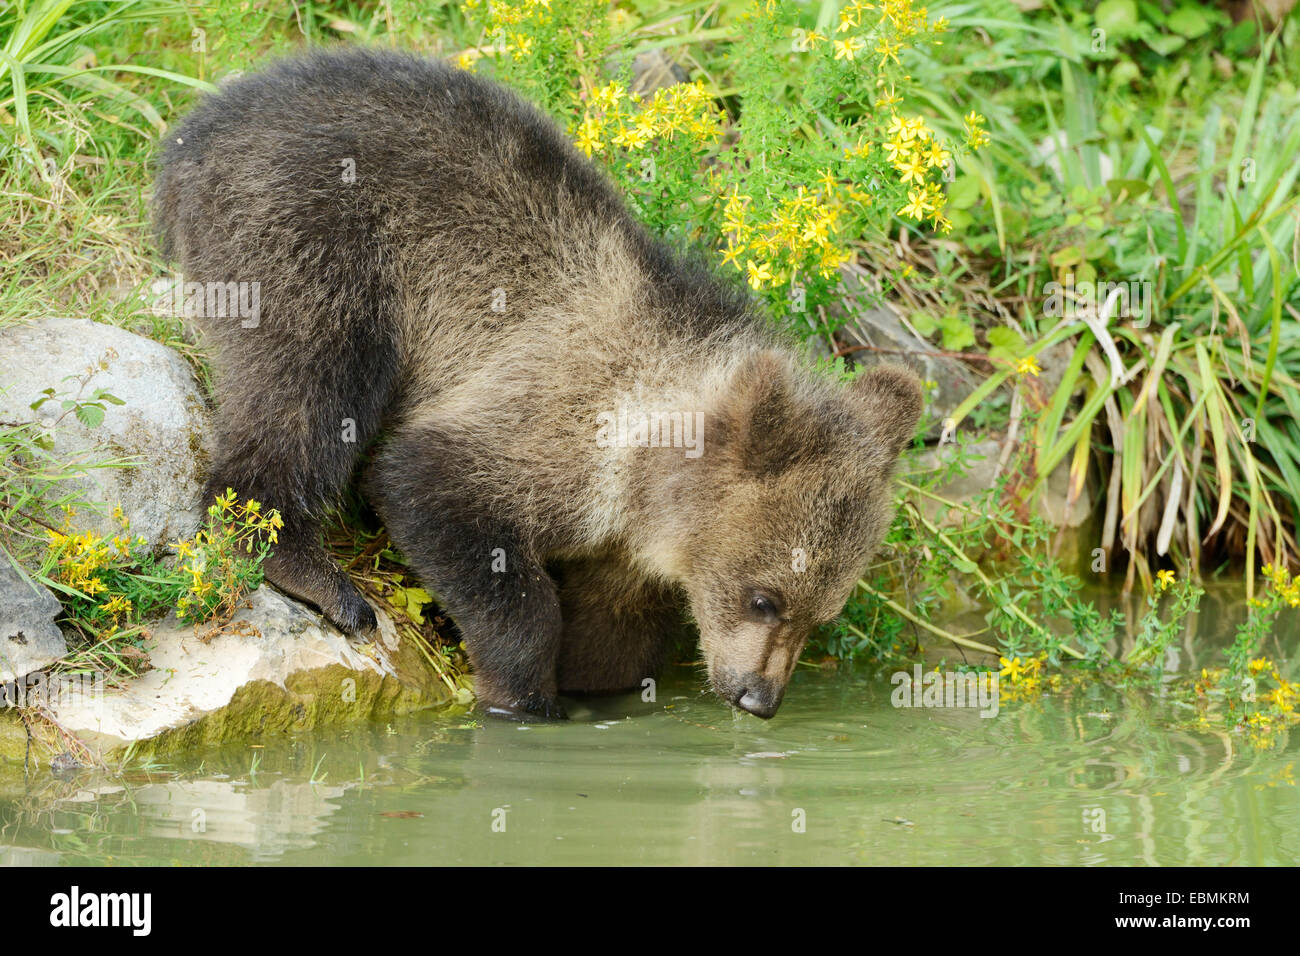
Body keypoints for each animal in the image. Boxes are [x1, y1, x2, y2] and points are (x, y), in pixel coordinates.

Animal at [153, 47, 922, 721]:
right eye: (765, 597)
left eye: (822, 610)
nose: (758, 698)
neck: (642, 479)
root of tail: (200, 126)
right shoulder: (552, 420)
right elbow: (430, 487)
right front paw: (520, 693)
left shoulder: (628, 547)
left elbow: (614, 637)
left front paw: (589, 683)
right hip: (310, 233)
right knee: (308, 382)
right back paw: (311, 570)